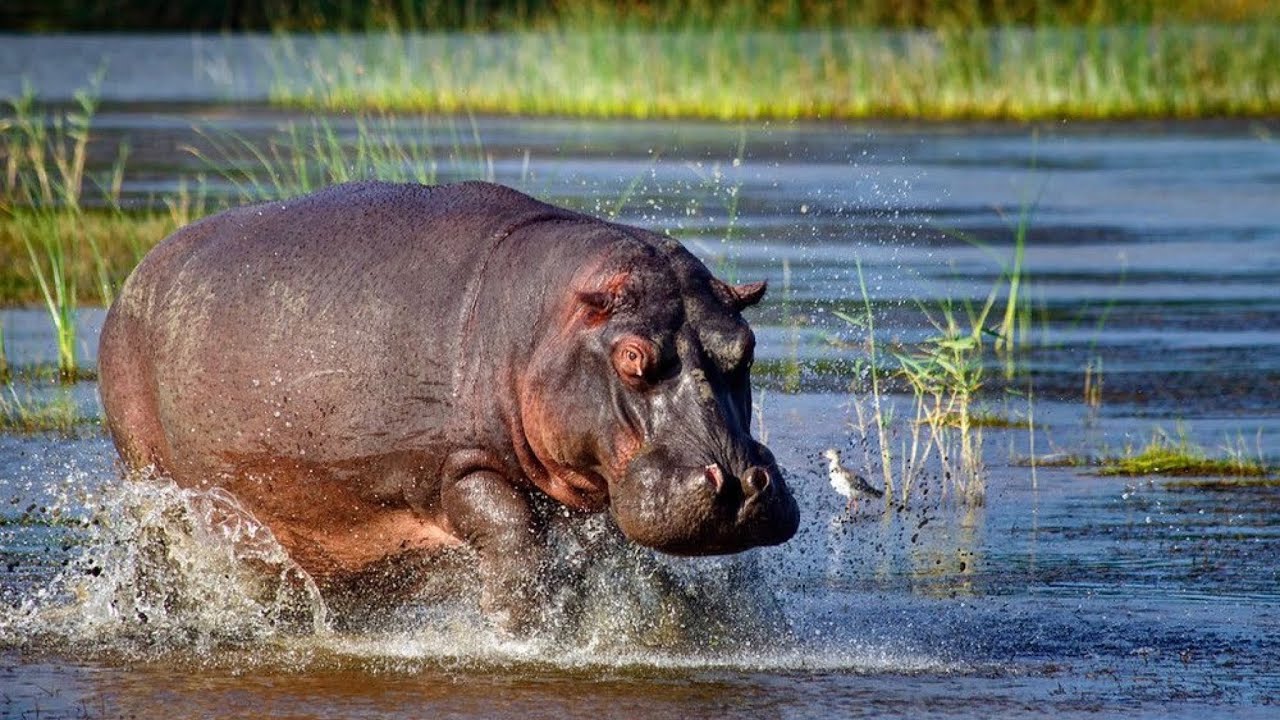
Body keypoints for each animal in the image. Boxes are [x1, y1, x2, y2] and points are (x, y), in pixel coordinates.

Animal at [98, 180, 799, 630]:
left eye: (746, 345)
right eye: (631, 356)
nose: (739, 483)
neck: (538, 326)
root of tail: (132, 279)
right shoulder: (449, 466)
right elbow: (511, 531)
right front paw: (517, 626)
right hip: (150, 480)